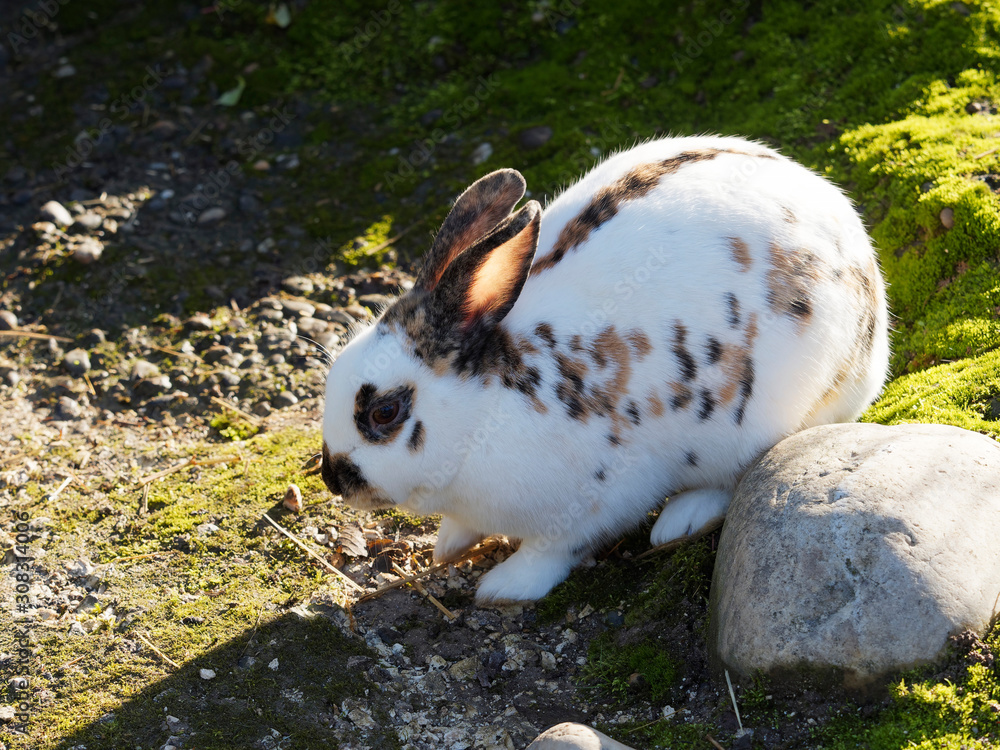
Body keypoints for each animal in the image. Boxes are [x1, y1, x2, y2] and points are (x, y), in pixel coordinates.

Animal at [320, 135, 889, 603]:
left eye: (385, 412)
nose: (331, 478)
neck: (485, 412)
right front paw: (447, 546)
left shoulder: (598, 500)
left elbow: (552, 551)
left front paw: (502, 587)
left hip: (767, 418)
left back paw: (679, 521)